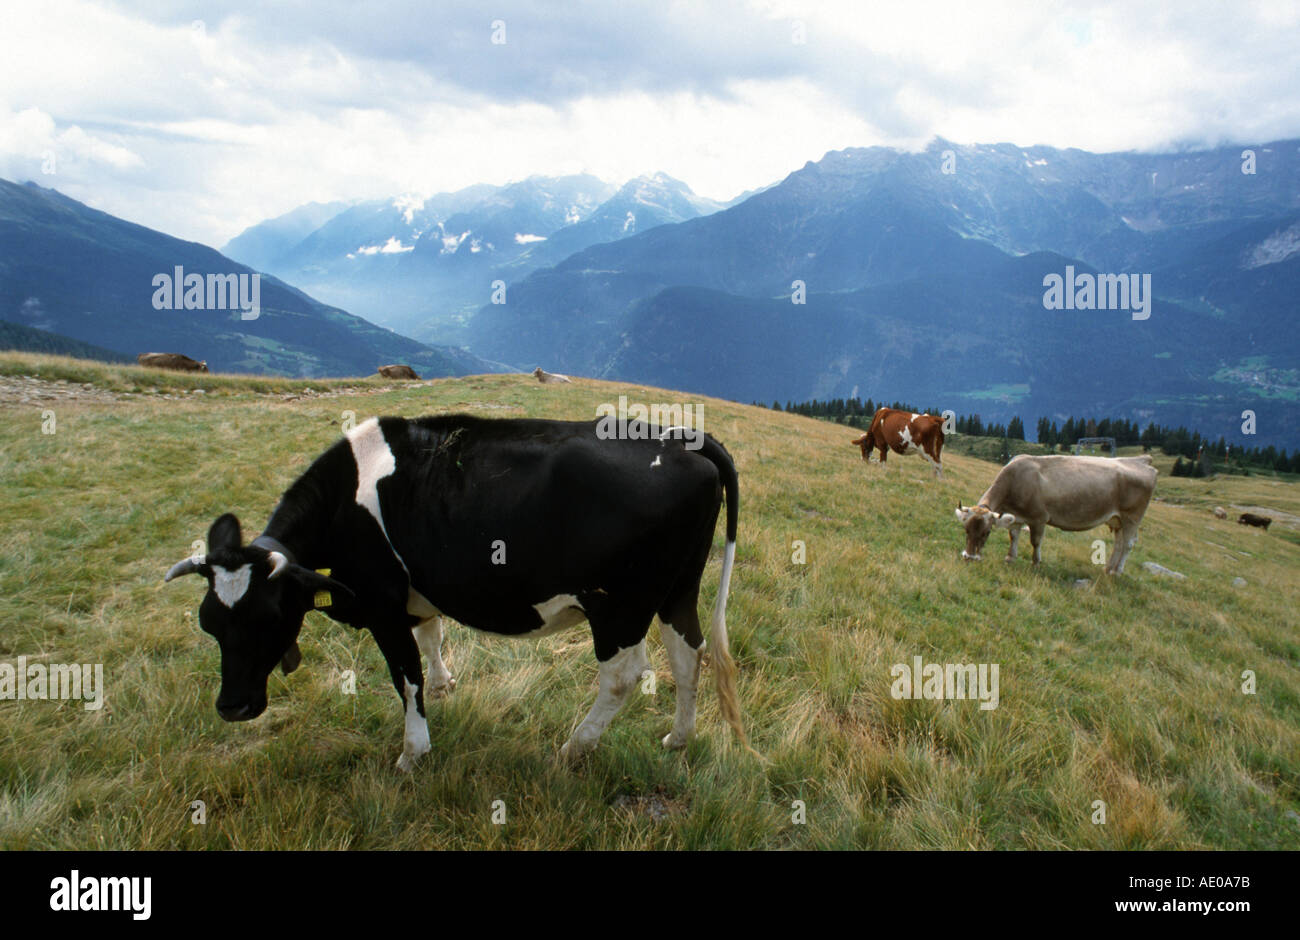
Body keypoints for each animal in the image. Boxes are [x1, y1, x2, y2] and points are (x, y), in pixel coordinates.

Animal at [163, 415, 746, 771]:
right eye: (210, 624)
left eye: (266, 618)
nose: (232, 707)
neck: (343, 506)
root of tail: (681, 437)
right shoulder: (412, 597)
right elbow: (431, 637)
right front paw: (446, 684)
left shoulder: (380, 604)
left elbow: (406, 677)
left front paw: (412, 752)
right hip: (676, 590)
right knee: (688, 653)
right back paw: (678, 737)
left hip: (619, 606)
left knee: (625, 675)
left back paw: (573, 747)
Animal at [954, 454, 1157, 574]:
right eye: (966, 530)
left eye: (987, 532)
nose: (969, 557)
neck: (1016, 480)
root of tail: (1140, 460)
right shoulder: (1016, 516)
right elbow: (1013, 535)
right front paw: (1010, 558)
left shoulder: (1039, 518)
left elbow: (1035, 542)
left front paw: (1036, 563)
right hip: (1117, 519)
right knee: (1119, 542)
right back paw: (1108, 568)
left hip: (1132, 517)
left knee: (1128, 543)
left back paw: (1116, 571)